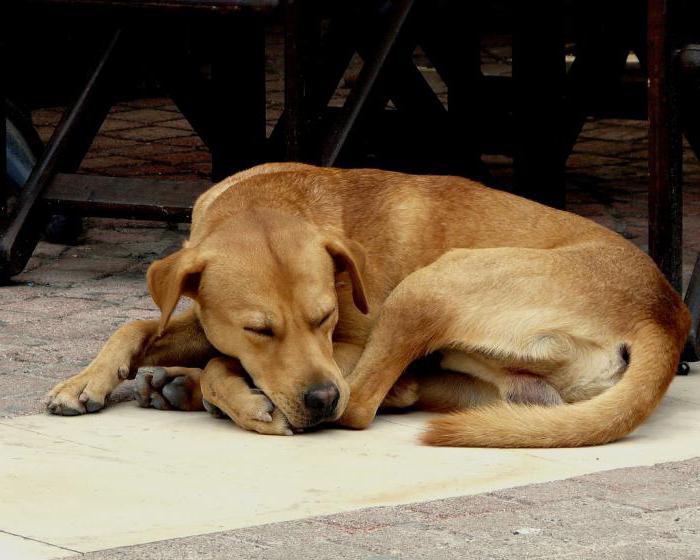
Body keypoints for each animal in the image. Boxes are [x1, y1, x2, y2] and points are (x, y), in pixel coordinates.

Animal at [45, 162, 688, 446]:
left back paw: (196, 390)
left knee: (364, 406)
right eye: (259, 329)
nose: (318, 399)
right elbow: (138, 324)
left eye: (325, 317)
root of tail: (665, 313)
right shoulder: (211, 318)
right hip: (485, 378)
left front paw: (242, 401)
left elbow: (228, 366)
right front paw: (84, 382)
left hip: (426, 287)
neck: (269, 199)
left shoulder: (347, 350)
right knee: (401, 393)